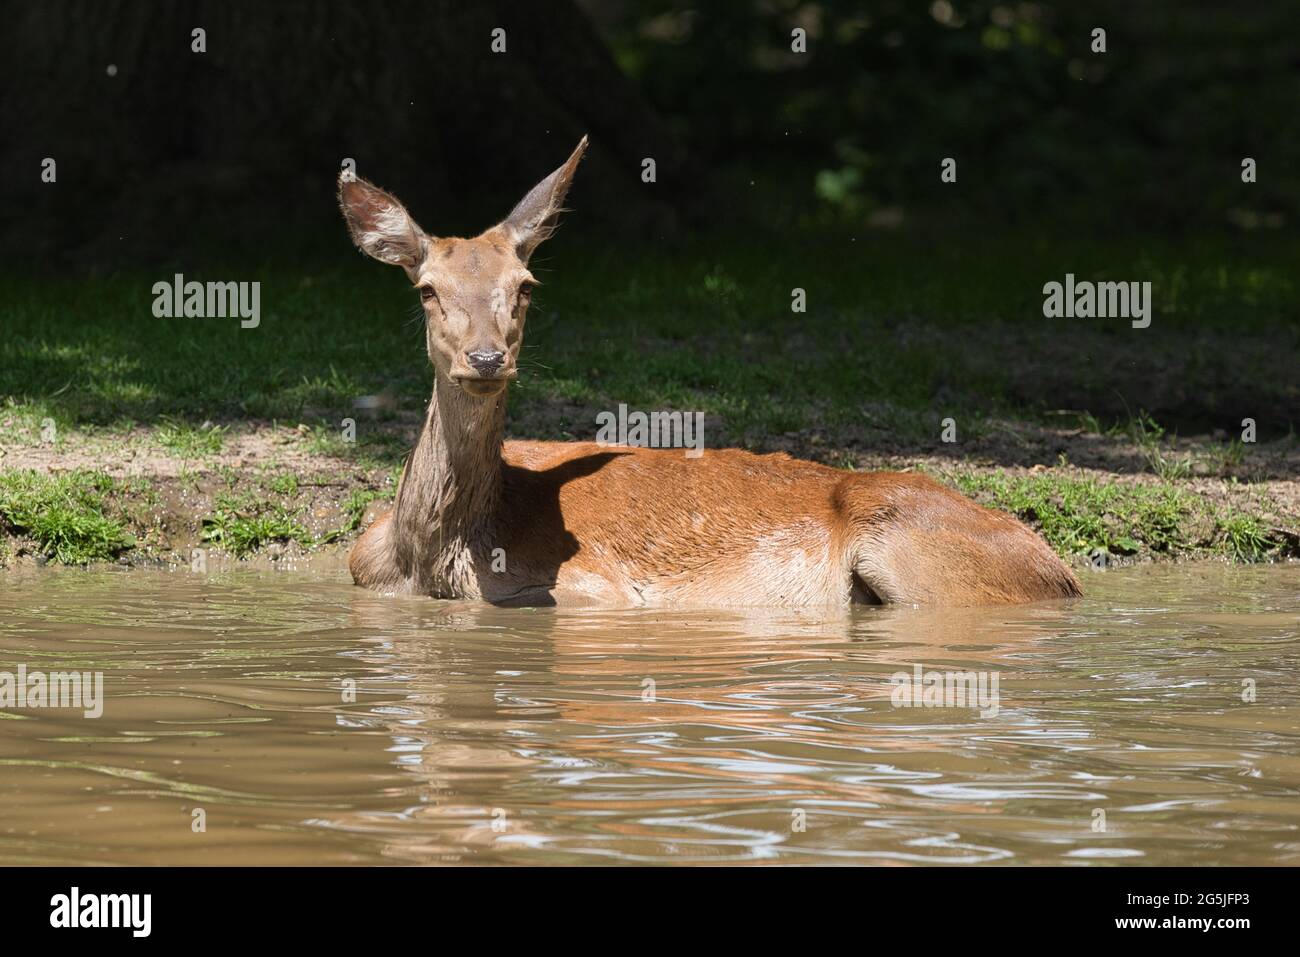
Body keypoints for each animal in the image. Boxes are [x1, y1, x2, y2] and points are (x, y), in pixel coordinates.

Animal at [337, 137, 1081, 608]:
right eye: (426, 289)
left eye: (525, 286)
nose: (487, 357)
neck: (428, 556)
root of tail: (1062, 572)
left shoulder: (597, 591)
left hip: (918, 554)